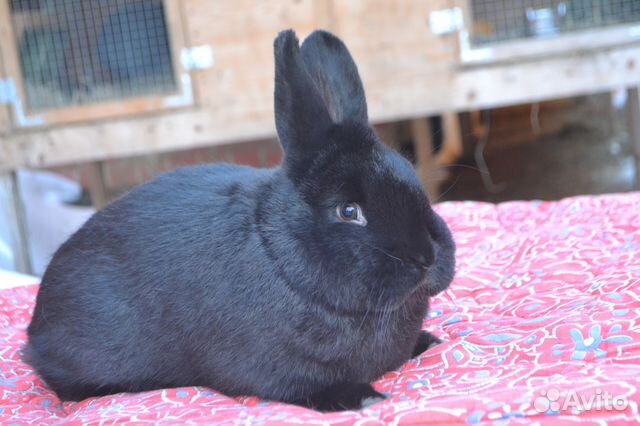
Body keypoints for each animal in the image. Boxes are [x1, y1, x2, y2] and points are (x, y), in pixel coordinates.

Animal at [24, 29, 456, 412]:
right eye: (349, 211)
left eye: (409, 174)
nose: (427, 256)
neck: (282, 261)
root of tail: (34, 334)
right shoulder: (276, 371)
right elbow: (304, 388)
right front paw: (364, 397)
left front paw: (428, 342)